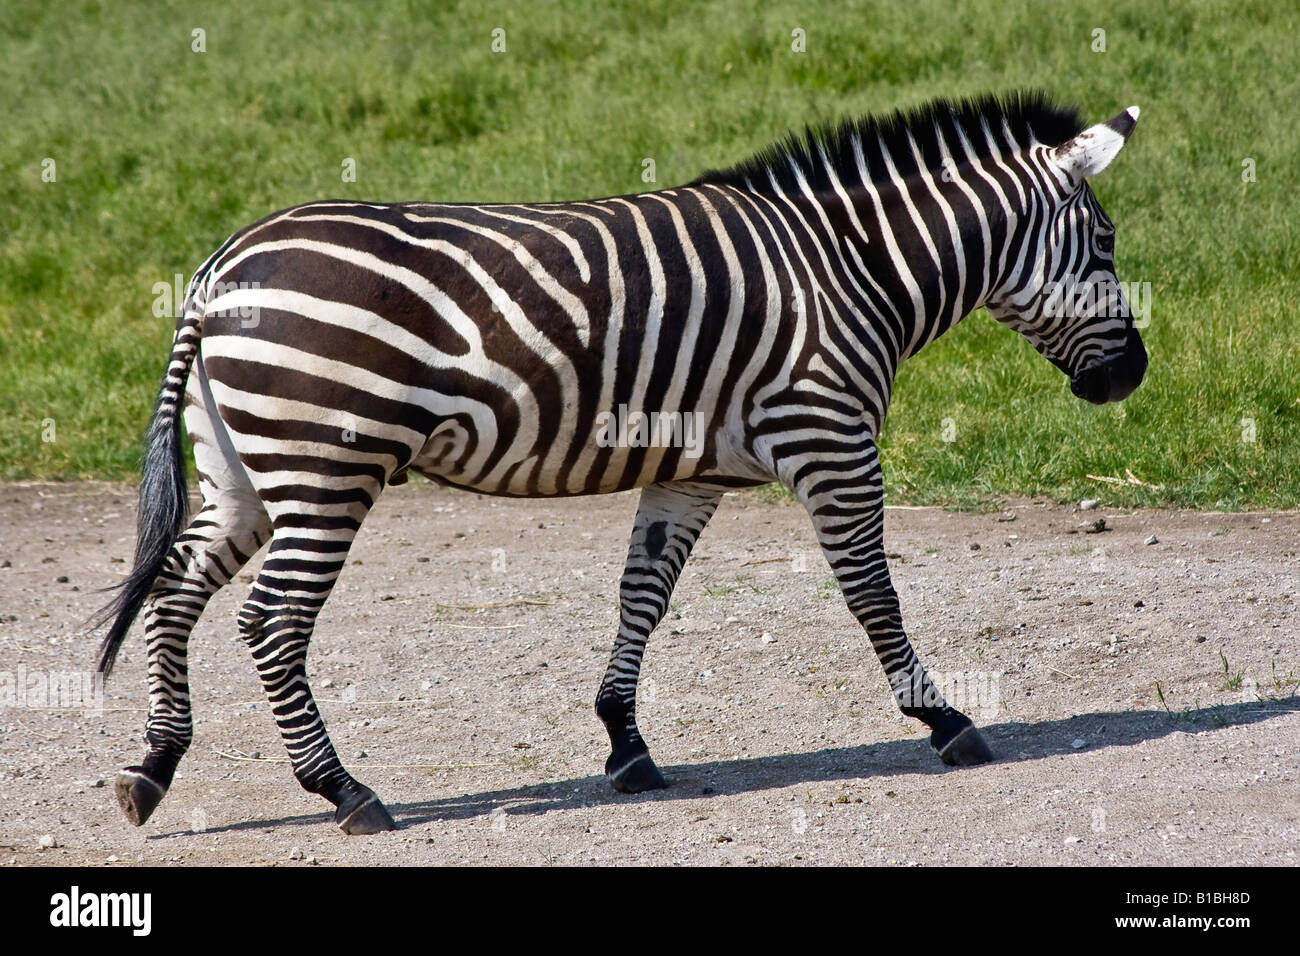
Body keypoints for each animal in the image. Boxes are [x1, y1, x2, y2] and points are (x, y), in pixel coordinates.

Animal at [95, 91, 1145, 834]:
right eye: (1105, 241)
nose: (1133, 376)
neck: (851, 267)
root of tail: (219, 268)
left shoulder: (691, 469)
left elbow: (645, 593)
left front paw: (625, 742)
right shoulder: (832, 439)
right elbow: (872, 593)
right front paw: (946, 720)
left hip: (244, 471)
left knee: (176, 592)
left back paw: (153, 769)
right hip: (325, 469)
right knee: (270, 621)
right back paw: (345, 792)